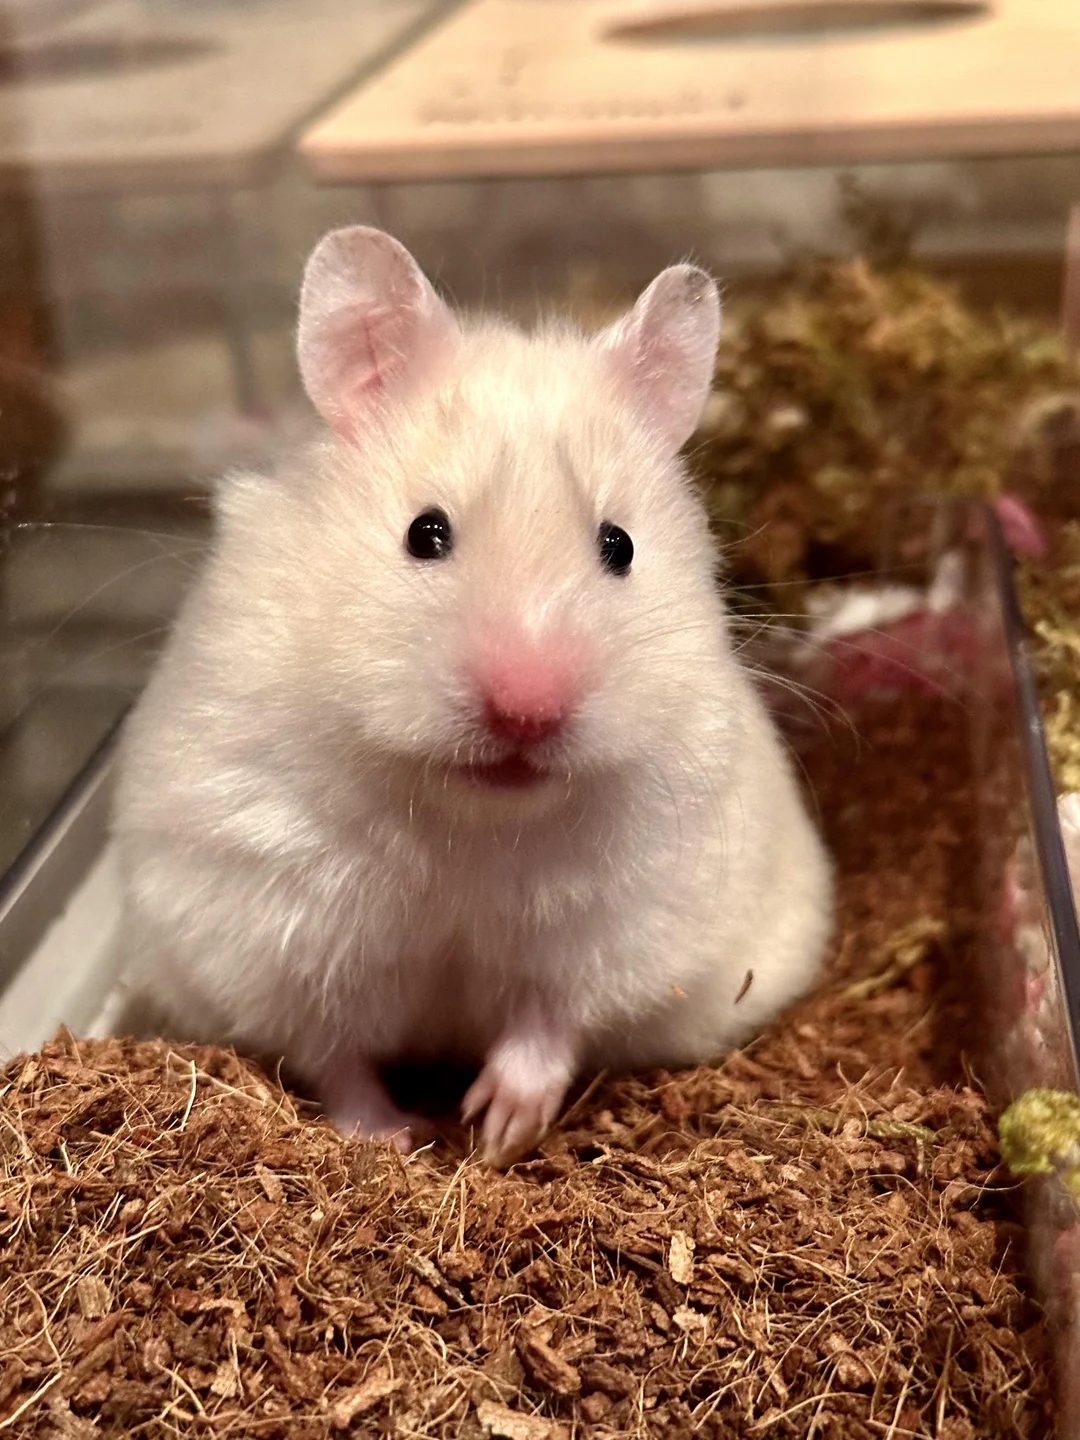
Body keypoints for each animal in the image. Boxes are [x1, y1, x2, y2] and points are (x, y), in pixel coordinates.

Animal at [110, 226, 834, 1165]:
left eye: (620, 546)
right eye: (426, 533)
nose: (527, 710)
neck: (471, 818)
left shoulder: (626, 916)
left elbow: (552, 1018)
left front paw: (495, 1130)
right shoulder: (270, 920)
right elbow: (334, 1052)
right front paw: (395, 1140)